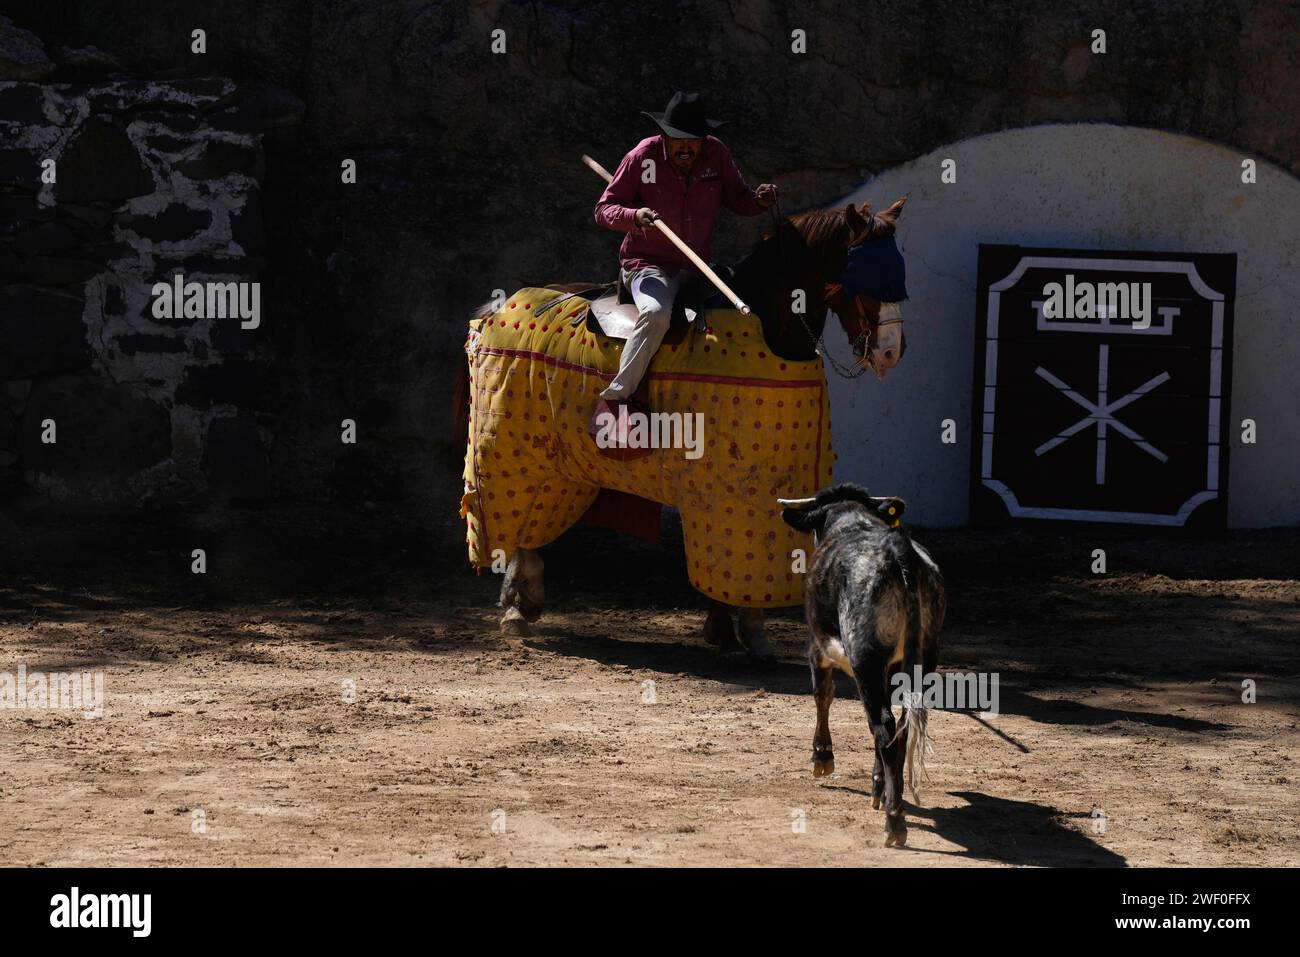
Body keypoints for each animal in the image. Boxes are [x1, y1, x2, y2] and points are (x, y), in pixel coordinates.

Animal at [779, 483, 946, 847]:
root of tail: (899, 556)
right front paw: (878, 783)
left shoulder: (818, 646)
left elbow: (822, 693)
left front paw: (822, 757)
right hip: (923, 659)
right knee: (900, 727)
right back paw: (889, 795)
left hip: (865, 659)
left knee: (883, 726)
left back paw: (894, 823)